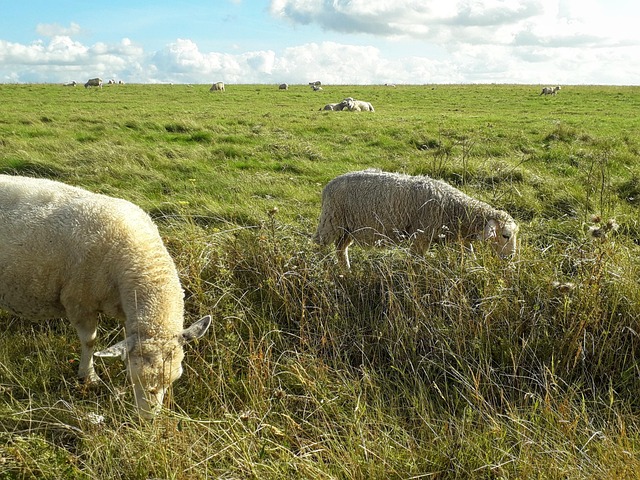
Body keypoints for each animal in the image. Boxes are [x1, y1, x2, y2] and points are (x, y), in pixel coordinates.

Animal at [0, 174, 212, 418]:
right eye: (132, 376)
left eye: (175, 377)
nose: (147, 420)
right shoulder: (79, 302)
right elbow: (90, 341)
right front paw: (89, 376)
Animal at [313, 169, 518, 268]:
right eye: (505, 235)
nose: (511, 258)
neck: (453, 207)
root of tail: (329, 185)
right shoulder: (420, 236)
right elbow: (417, 260)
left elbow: (469, 252)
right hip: (331, 220)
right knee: (319, 246)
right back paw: (319, 269)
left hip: (347, 228)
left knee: (341, 249)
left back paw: (346, 271)